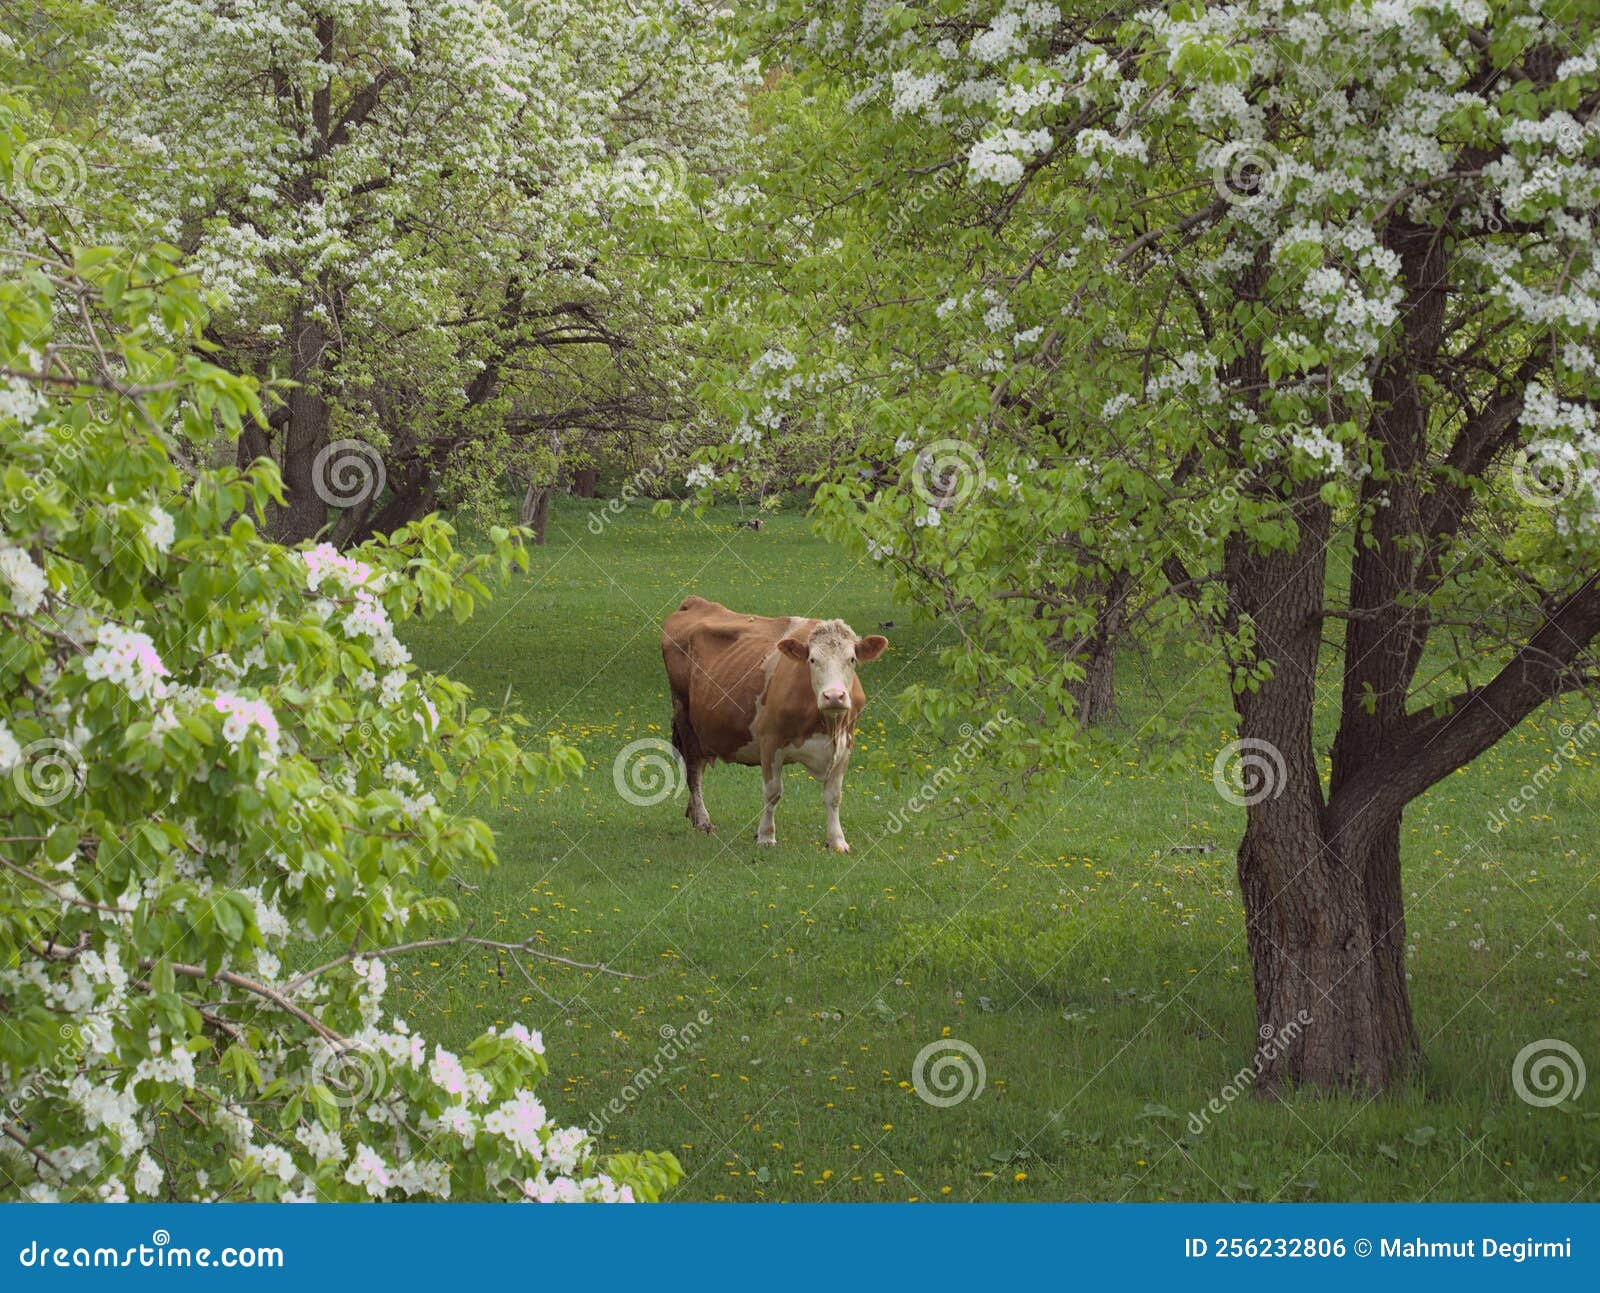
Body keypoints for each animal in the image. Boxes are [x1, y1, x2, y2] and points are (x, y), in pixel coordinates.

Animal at [661, 596, 888, 852]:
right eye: (812, 659)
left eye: (852, 659)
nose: (834, 696)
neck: (826, 725)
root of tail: (695, 602)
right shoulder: (770, 740)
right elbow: (772, 793)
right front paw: (766, 836)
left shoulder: (845, 742)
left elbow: (834, 796)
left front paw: (837, 841)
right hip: (685, 716)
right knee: (693, 770)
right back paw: (702, 820)